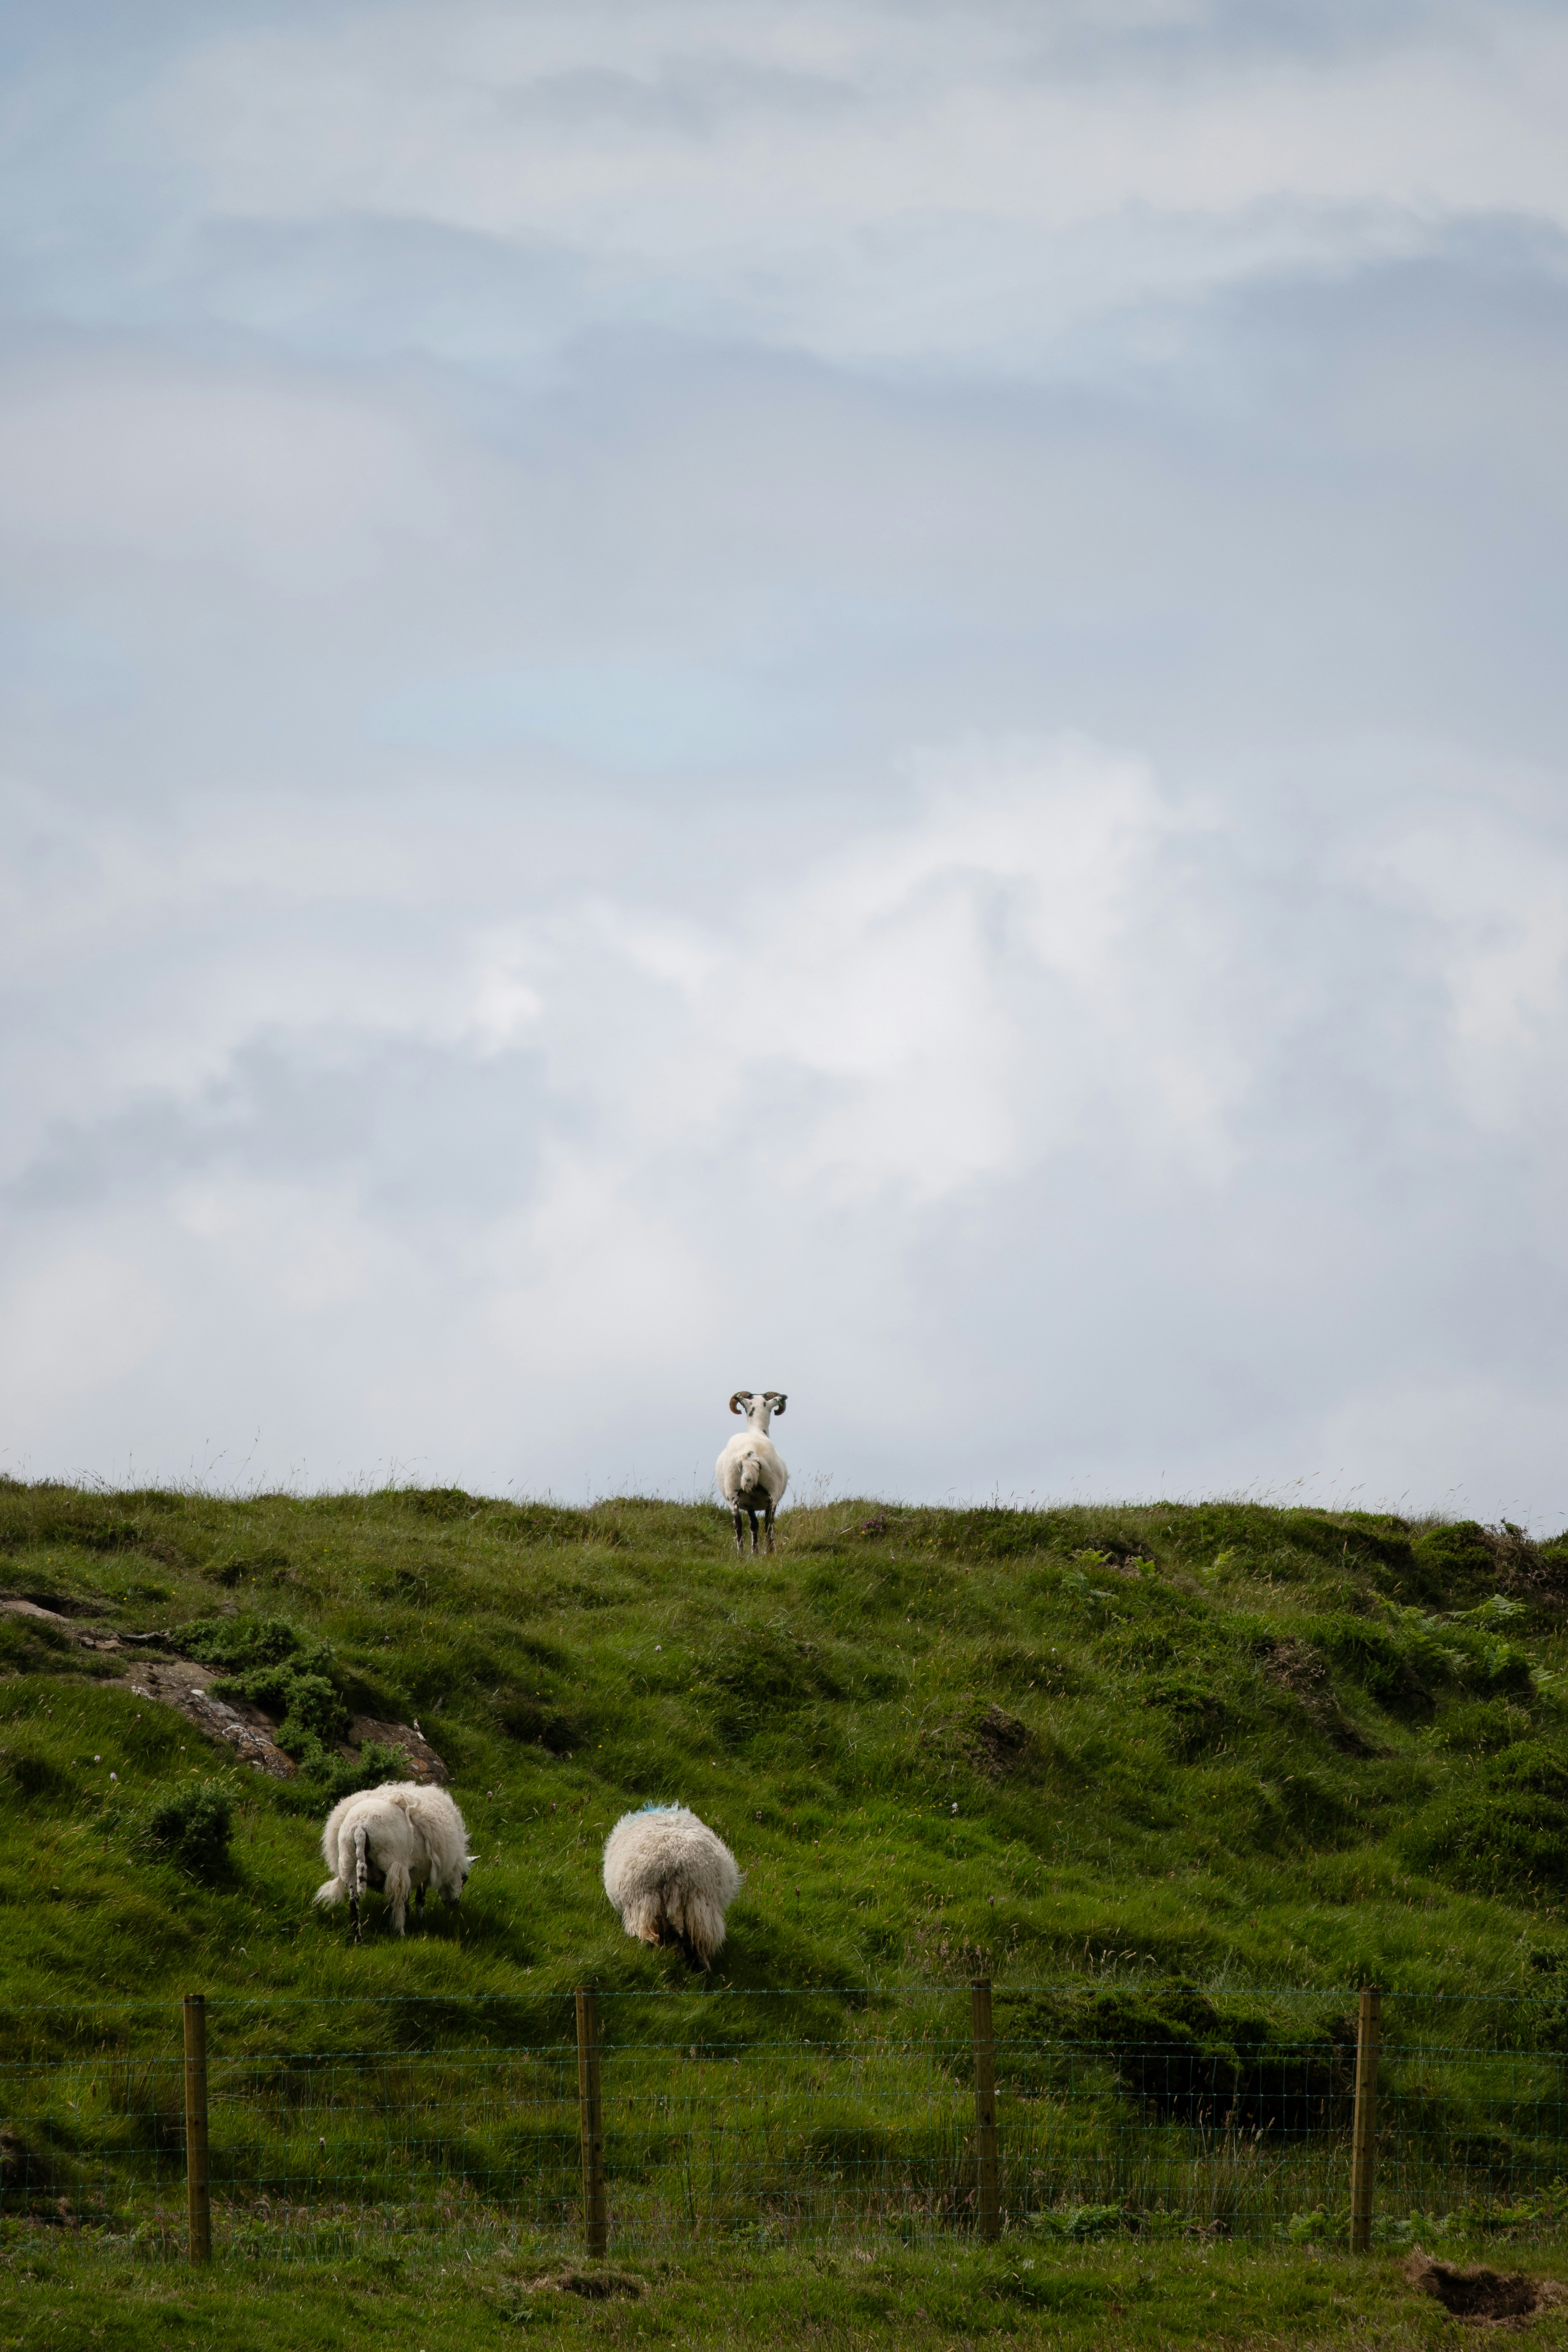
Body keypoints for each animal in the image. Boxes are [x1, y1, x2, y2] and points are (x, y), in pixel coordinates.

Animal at [314, 1780, 472, 1941]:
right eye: (465, 1879)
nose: (455, 1905)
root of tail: (360, 1827)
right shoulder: (423, 1872)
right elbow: (419, 1899)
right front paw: (420, 1920)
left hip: (349, 1860)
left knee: (354, 1903)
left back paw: (359, 1939)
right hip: (393, 1862)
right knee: (397, 1899)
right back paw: (401, 1931)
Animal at [602, 1801, 742, 1970]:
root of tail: (678, 1861)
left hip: (646, 1903)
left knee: (650, 1933)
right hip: (701, 1910)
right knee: (700, 1942)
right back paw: (701, 1965)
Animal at [716, 1389, 788, 1554]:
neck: (758, 1431)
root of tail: (749, 1454)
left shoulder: (749, 1504)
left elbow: (753, 1525)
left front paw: (754, 1552)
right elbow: (759, 1525)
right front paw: (757, 1551)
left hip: (732, 1491)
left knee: (737, 1522)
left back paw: (741, 1554)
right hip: (773, 1492)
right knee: (769, 1524)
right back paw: (770, 1552)